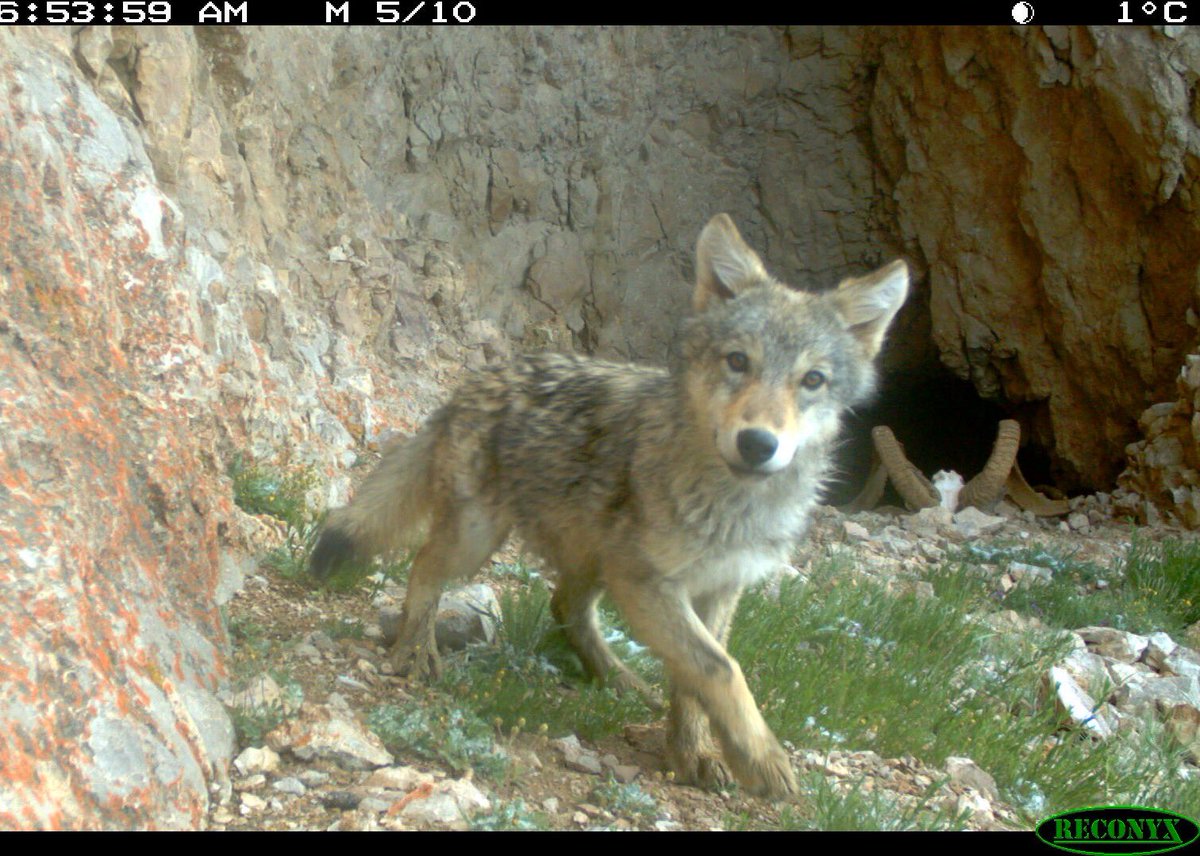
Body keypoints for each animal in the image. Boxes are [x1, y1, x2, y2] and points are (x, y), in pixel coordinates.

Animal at [310, 214, 908, 798]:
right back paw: (417, 651)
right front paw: (759, 761)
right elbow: (721, 670)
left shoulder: (718, 588)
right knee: (425, 567)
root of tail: (474, 382)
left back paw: (619, 679)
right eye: (738, 361)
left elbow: (695, 677)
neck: (732, 507)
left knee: (564, 607)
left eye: (813, 380)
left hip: (592, 560)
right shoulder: (647, 582)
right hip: (480, 541)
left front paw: (693, 753)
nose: (758, 443)